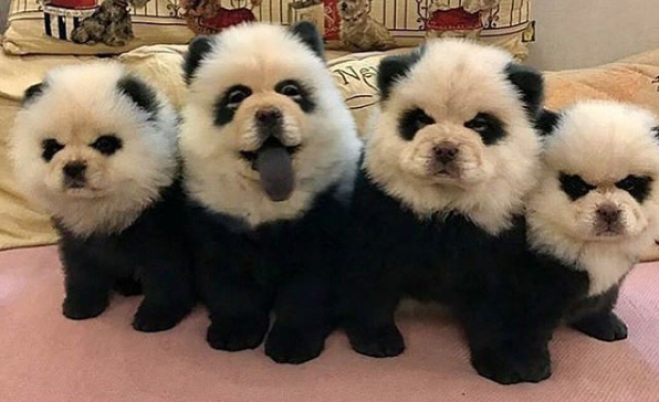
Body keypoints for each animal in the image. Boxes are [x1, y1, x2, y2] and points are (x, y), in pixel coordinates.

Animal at [10, 62, 194, 332]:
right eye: (52, 147)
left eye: (105, 143)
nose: (74, 167)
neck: (99, 204)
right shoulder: (74, 230)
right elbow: (80, 265)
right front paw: (80, 306)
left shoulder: (161, 213)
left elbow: (165, 265)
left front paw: (155, 316)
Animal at [179, 22, 361, 364]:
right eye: (237, 96)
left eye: (290, 90)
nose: (268, 114)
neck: (266, 195)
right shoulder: (216, 215)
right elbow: (227, 278)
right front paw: (235, 332)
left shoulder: (323, 211)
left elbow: (310, 285)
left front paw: (293, 343)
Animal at [337, 39, 556, 384]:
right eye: (420, 120)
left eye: (479, 124)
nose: (445, 149)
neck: (445, 203)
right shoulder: (383, 207)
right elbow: (371, 275)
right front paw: (376, 339)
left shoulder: (501, 228)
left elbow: (501, 300)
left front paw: (507, 362)